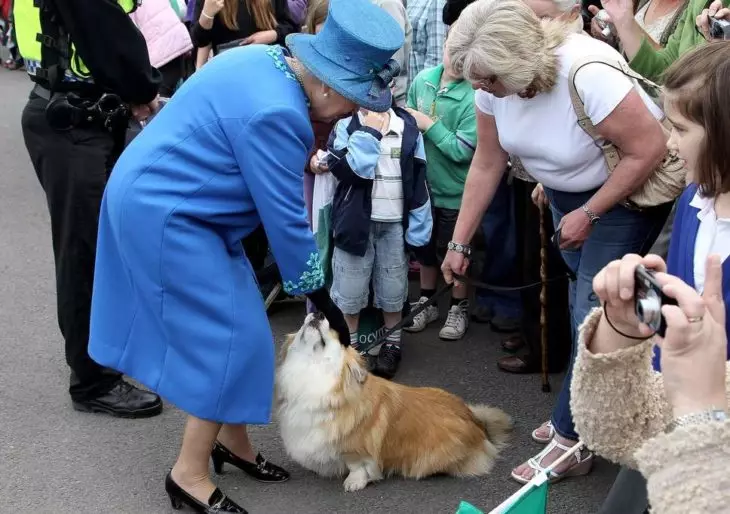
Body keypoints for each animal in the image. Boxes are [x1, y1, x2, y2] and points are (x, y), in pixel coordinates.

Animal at [274, 310, 512, 490]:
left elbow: (357, 466)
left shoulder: (355, 448)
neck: (313, 372)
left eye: (335, 335)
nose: (318, 312)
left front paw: (354, 483)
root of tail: (477, 422)